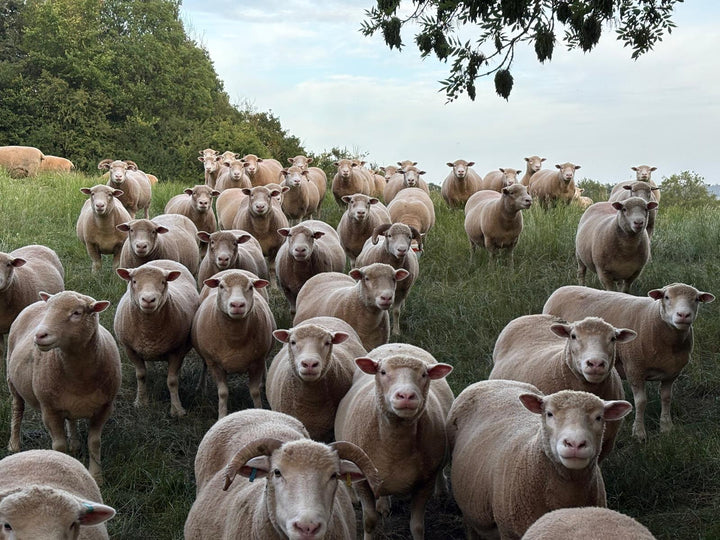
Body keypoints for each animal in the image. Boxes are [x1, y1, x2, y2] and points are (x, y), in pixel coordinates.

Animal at [6, 290, 122, 485]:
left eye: (76, 313)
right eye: (48, 310)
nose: (39, 335)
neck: (79, 379)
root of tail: (36, 302)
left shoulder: (105, 407)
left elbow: (94, 442)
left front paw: (96, 477)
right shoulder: (49, 410)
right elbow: (59, 445)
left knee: (71, 419)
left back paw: (75, 445)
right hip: (11, 379)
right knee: (17, 408)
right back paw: (14, 444)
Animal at [114, 259, 200, 418]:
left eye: (162, 282)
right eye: (134, 281)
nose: (148, 299)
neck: (149, 331)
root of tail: (163, 260)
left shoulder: (177, 351)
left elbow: (172, 381)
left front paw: (177, 410)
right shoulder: (130, 349)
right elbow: (141, 375)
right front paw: (141, 402)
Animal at [191, 269, 275, 419]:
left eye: (250, 287)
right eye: (221, 286)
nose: (237, 305)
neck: (234, 338)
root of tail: (233, 269)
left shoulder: (257, 361)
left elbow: (254, 392)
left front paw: (259, 409)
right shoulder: (215, 363)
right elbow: (223, 393)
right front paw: (222, 416)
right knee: (204, 365)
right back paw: (201, 387)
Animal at [334, 343, 454, 540]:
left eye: (424, 374)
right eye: (382, 372)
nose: (406, 396)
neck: (395, 447)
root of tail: (399, 345)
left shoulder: (425, 483)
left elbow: (417, 526)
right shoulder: (362, 482)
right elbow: (369, 522)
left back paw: (442, 492)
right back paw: (383, 505)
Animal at [543, 283, 714, 441]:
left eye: (696, 299)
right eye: (666, 297)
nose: (683, 315)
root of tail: (562, 288)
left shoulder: (671, 373)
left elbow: (666, 398)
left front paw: (666, 427)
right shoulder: (634, 368)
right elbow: (641, 402)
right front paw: (639, 433)